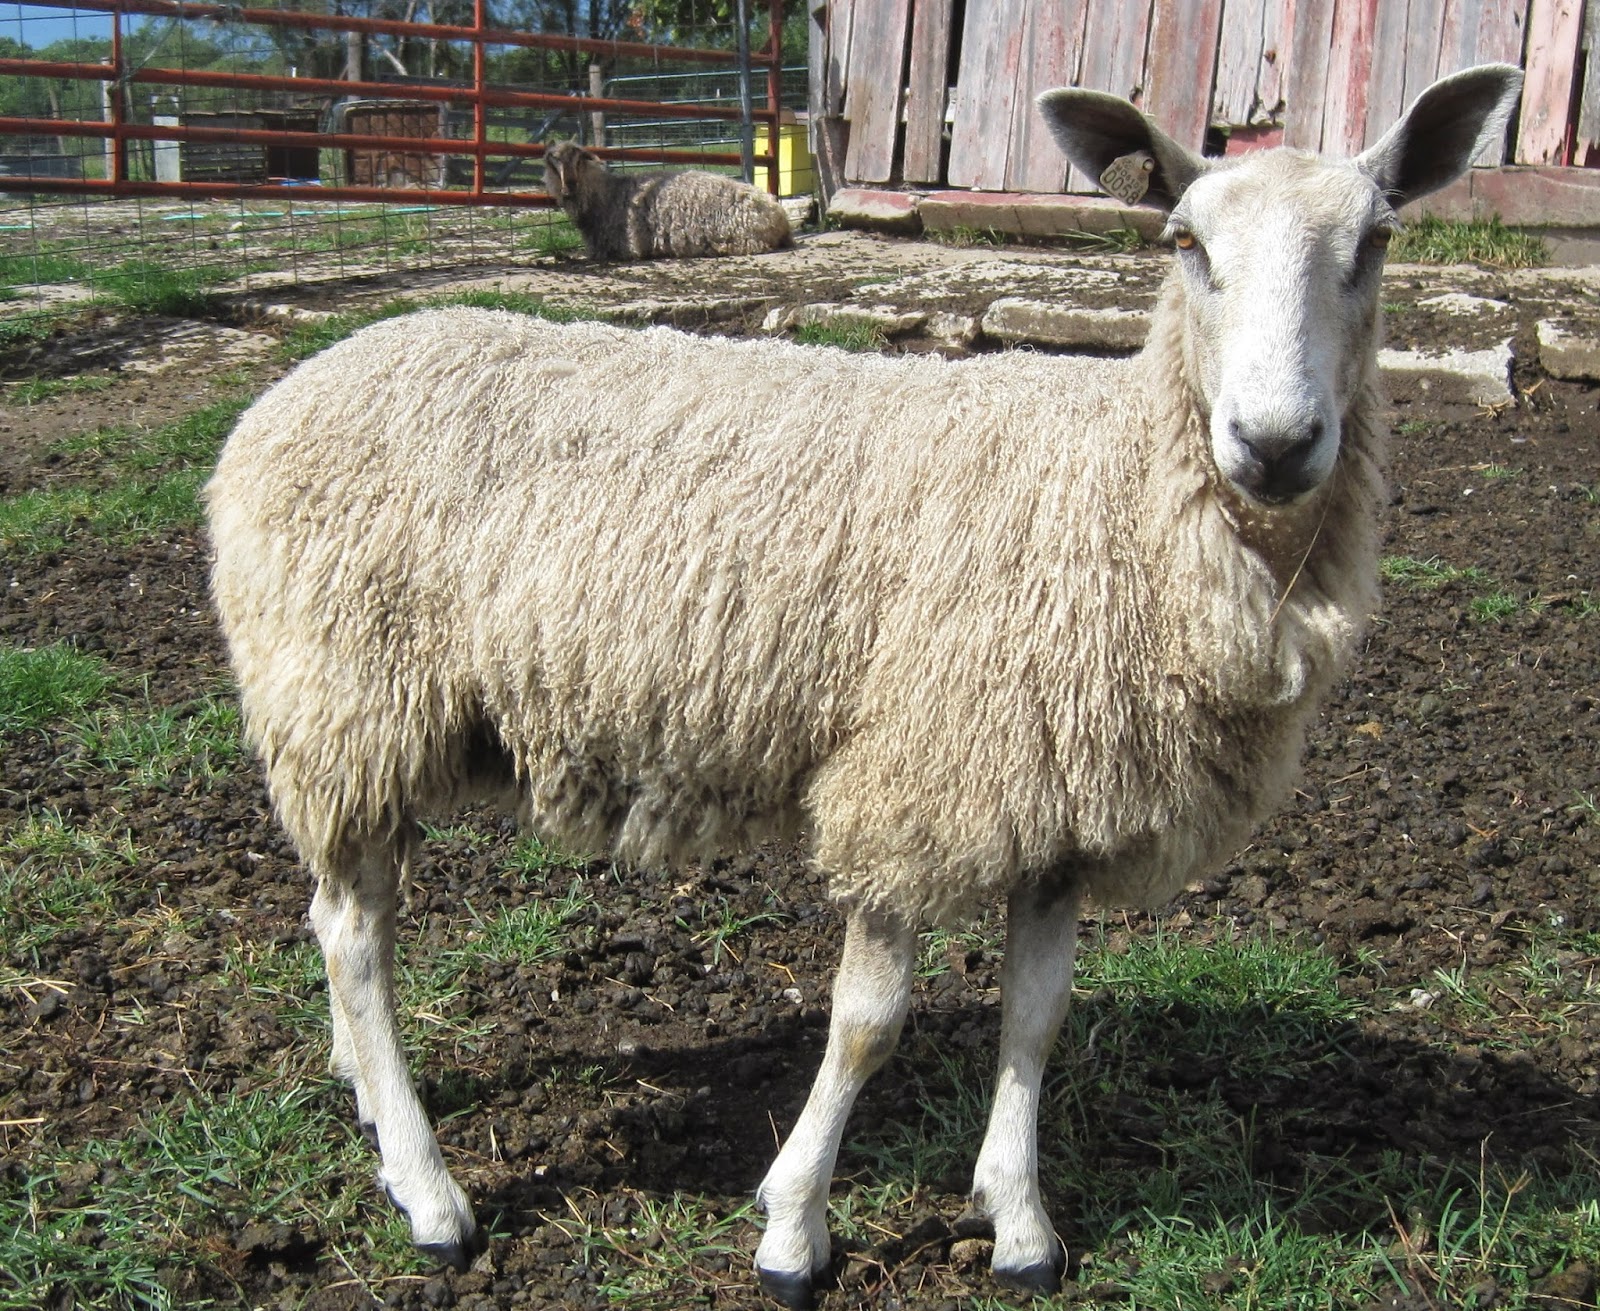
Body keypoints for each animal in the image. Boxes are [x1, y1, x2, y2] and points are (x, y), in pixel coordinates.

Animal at [542, 138, 792, 259]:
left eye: (579, 160)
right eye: (552, 162)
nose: (568, 188)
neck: (607, 194)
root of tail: (778, 213)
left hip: (743, 236)